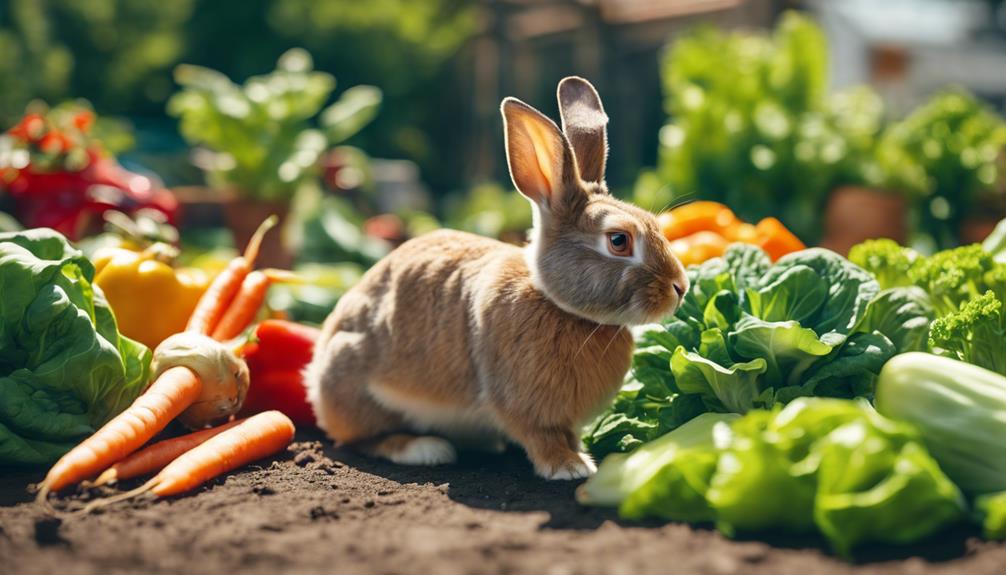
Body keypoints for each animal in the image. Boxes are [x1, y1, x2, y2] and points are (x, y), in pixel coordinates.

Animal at [304, 77, 688, 480]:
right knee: (362, 439)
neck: (559, 305)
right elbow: (541, 437)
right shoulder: (524, 406)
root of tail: (316, 379)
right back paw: (425, 449)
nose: (680, 287)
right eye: (618, 240)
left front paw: (580, 455)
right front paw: (570, 467)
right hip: (357, 385)